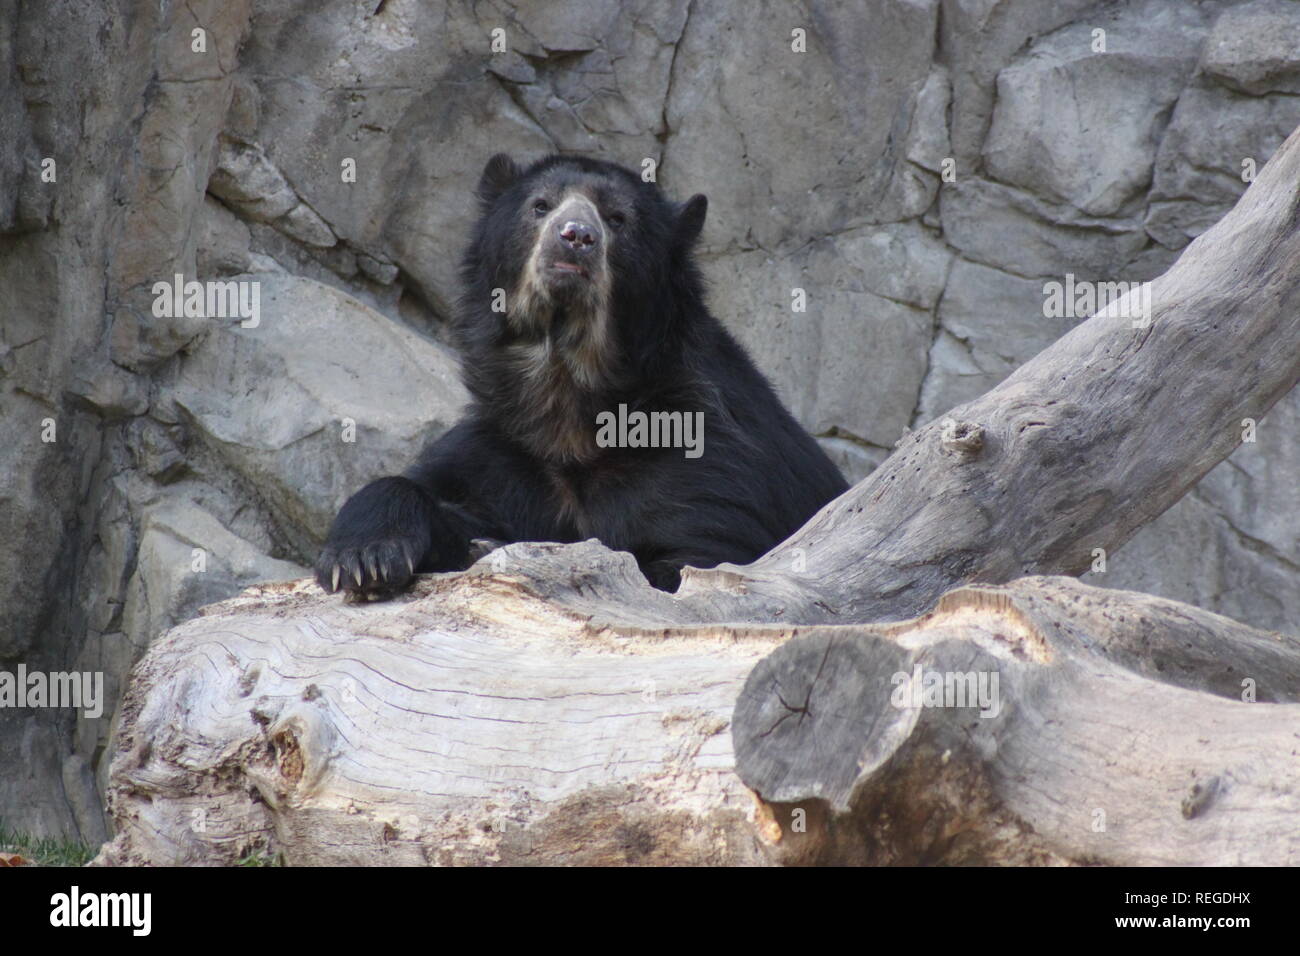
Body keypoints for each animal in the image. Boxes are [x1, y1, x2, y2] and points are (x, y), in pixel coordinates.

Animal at [315, 153, 848, 596]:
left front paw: (488, 549)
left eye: (617, 219)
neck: (566, 390)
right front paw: (364, 558)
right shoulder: (500, 453)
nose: (575, 236)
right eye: (540, 206)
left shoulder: (711, 463)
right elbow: (428, 484)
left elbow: (690, 563)